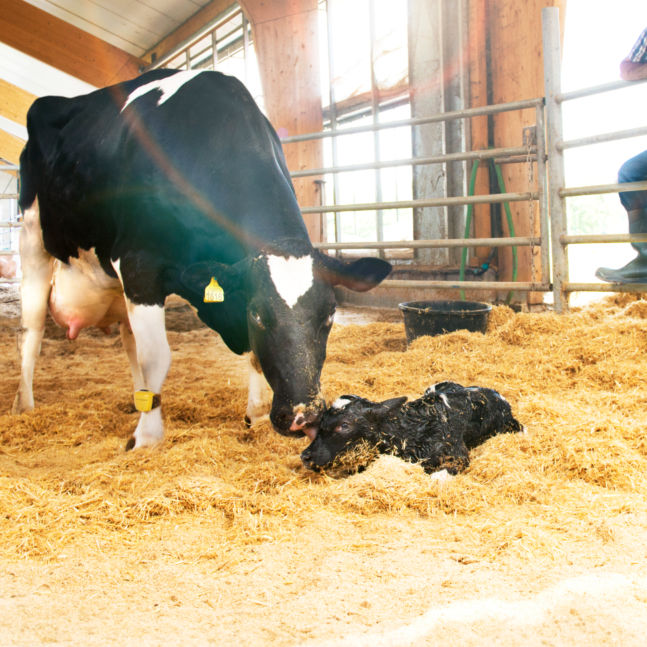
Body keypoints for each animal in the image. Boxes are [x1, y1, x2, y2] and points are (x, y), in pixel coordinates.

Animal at [12, 69, 391, 450]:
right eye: (258, 315)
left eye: (330, 315)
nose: (304, 417)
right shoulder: (138, 264)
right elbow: (157, 356)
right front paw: (147, 437)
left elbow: (251, 353)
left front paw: (254, 414)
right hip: (32, 237)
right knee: (32, 329)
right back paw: (24, 404)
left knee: (128, 339)